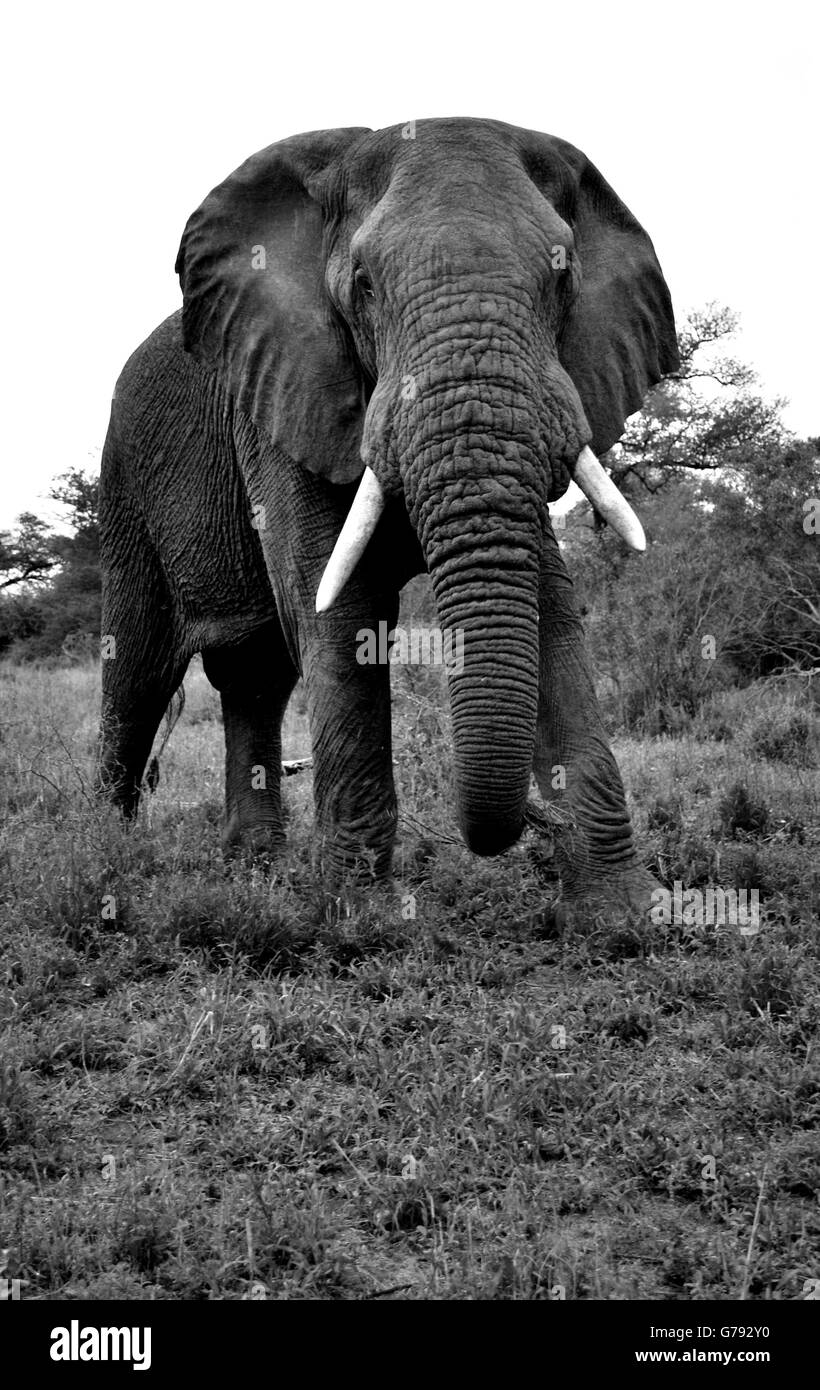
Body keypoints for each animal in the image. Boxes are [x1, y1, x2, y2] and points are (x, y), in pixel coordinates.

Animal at [98, 117, 679, 916]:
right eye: (363, 286)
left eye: (564, 278)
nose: (535, 822)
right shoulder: (284, 396)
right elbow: (339, 610)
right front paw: (360, 919)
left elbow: (551, 610)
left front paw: (624, 917)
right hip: (124, 481)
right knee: (138, 672)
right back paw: (99, 861)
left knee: (254, 678)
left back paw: (255, 870)